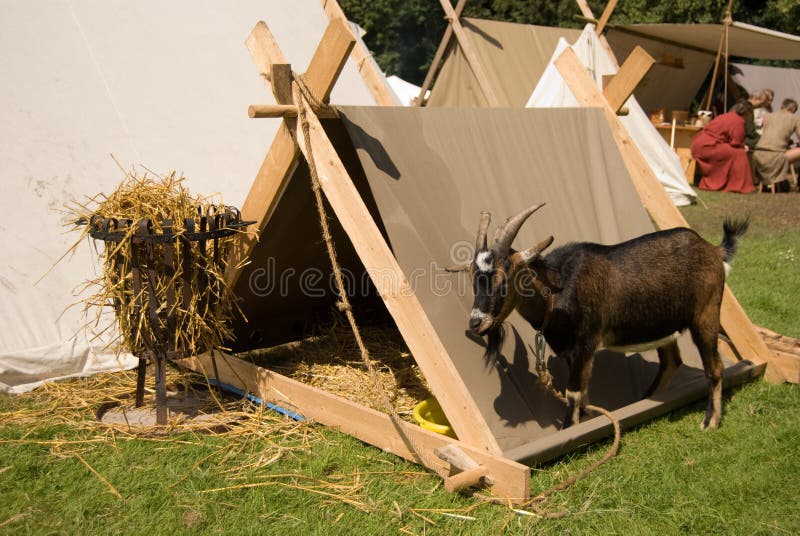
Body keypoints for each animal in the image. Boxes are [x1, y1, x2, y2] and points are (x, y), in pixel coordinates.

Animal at [448, 204, 748, 430]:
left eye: (504, 280)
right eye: (473, 280)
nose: (476, 322)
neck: (557, 290)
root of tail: (713, 250)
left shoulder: (585, 344)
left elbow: (573, 394)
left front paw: (570, 430)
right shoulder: (573, 353)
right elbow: (583, 394)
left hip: (706, 314)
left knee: (714, 367)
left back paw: (710, 421)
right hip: (664, 327)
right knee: (671, 362)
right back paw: (650, 400)